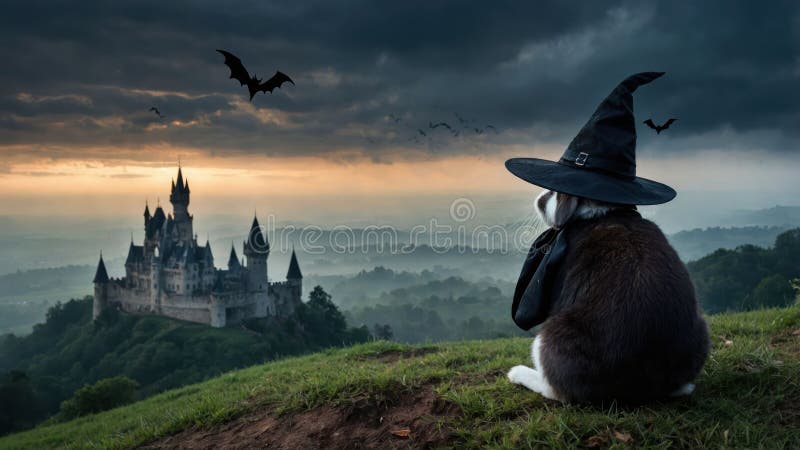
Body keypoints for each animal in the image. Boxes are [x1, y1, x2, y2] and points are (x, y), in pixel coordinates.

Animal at [507, 189, 710, 404]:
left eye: (554, 193)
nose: (538, 198)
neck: (600, 212)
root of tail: (640, 388)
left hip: (548, 338)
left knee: (555, 390)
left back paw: (518, 373)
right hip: (701, 330)